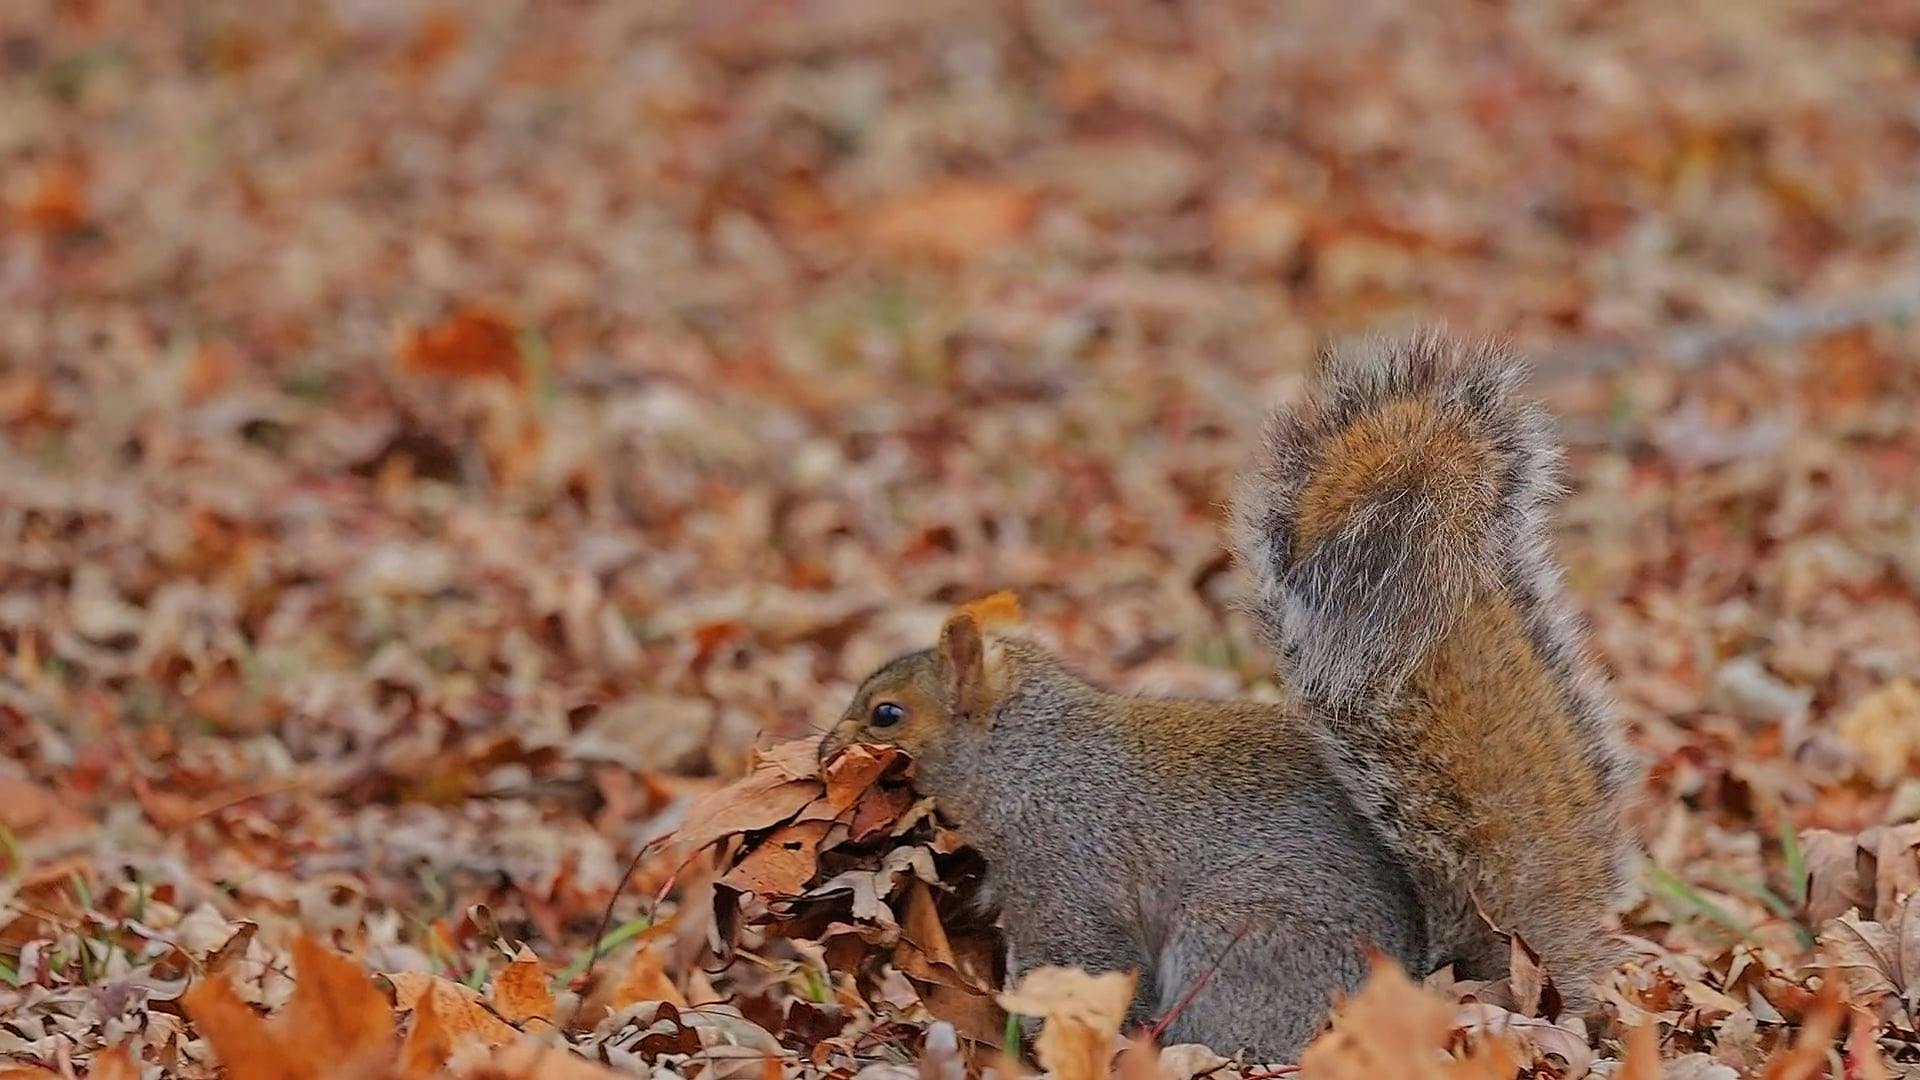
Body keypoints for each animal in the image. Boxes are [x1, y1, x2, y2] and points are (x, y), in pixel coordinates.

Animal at [819, 331, 1640, 1060]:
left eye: (887, 714)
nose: (827, 749)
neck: (1028, 750)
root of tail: (1423, 987)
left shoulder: (1064, 871)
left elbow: (1084, 960)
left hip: (1235, 939)